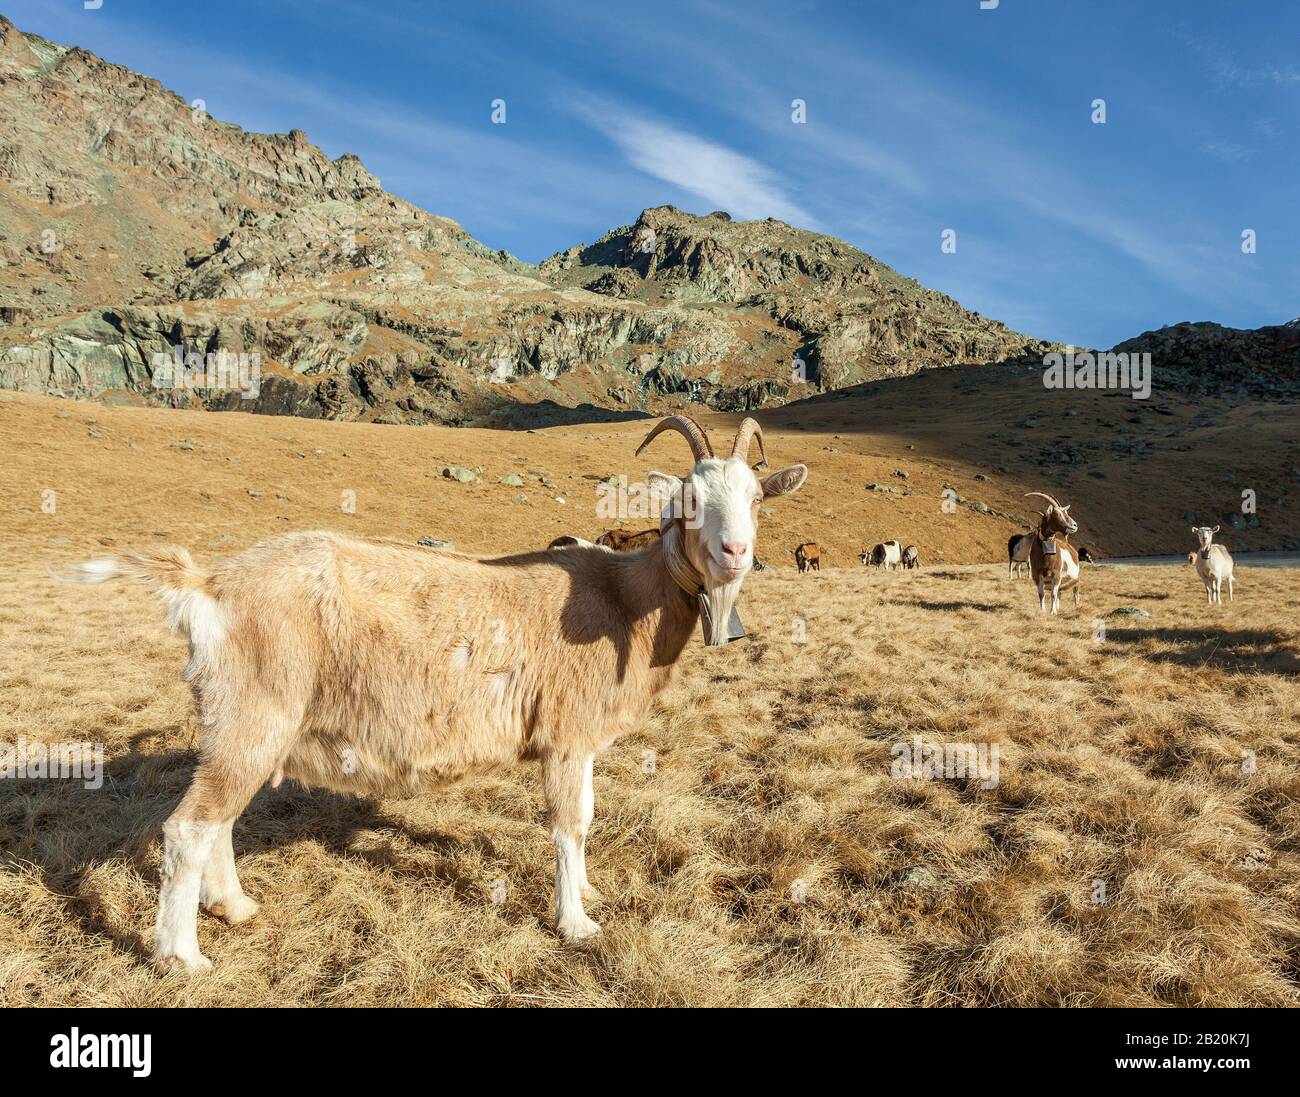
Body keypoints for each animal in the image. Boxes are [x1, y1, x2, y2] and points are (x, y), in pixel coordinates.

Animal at [52, 414, 808, 972]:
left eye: (756, 498)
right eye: (689, 501)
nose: (735, 553)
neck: (622, 599)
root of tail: (207, 584)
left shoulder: (584, 740)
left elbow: (589, 815)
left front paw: (590, 889)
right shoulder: (564, 735)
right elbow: (567, 825)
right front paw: (577, 922)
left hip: (245, 724)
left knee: (221, 820)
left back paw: (233, 907)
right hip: (251, 711)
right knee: (188, 828)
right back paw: (182, 956)